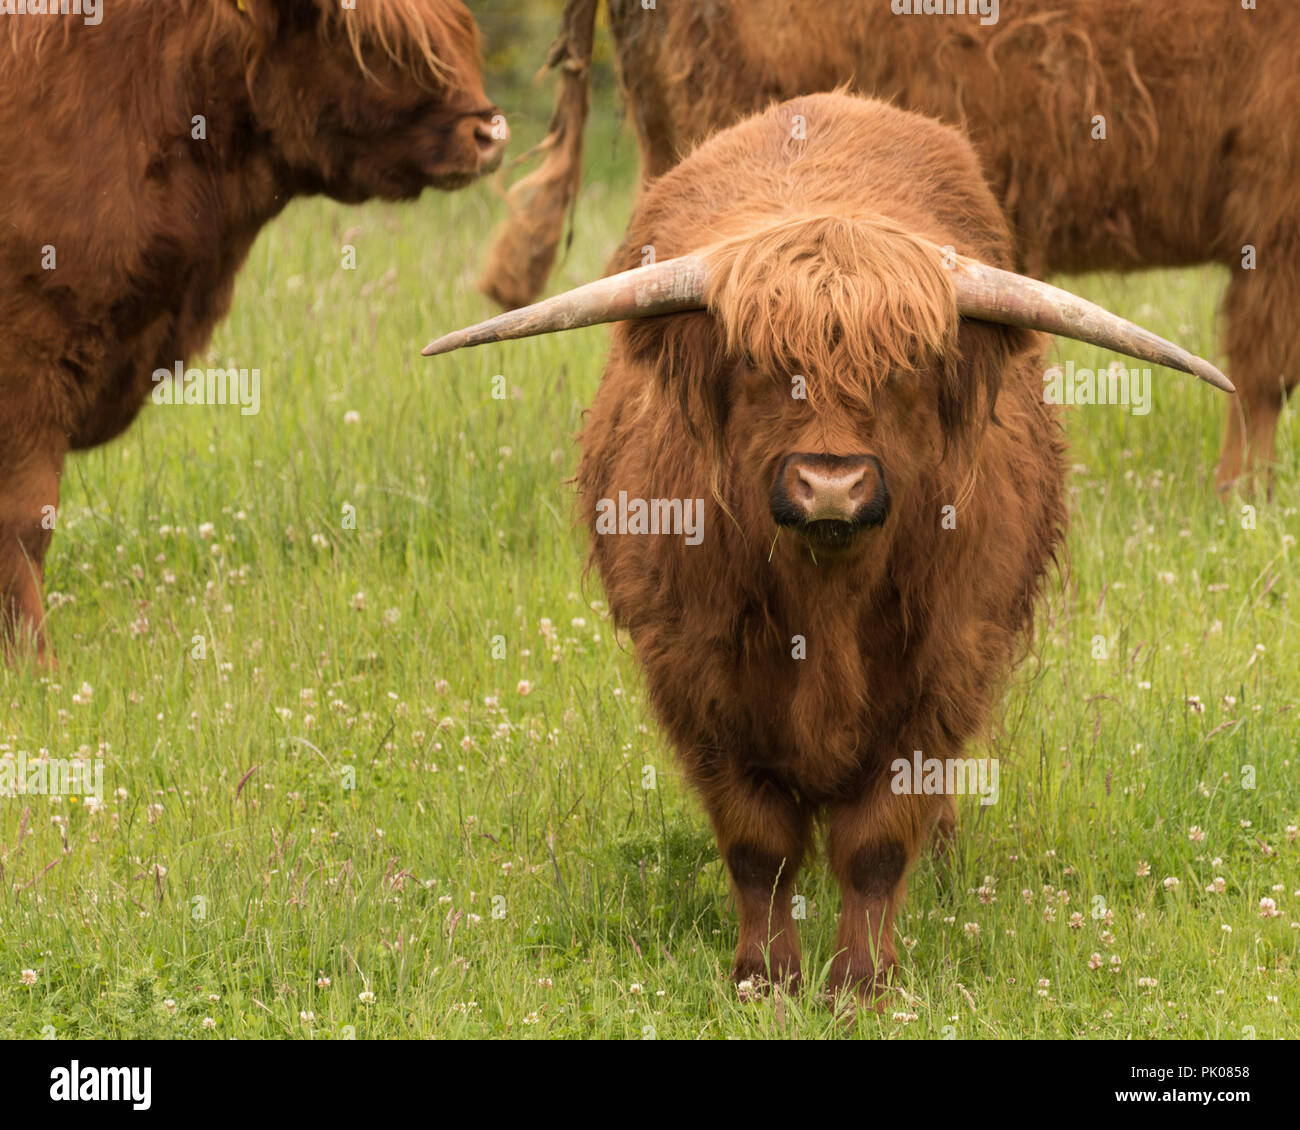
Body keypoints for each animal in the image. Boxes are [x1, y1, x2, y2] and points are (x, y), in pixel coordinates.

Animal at [426, 93, 1230, 1002]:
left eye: (906, 368)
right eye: (758, 366)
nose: (832, 484)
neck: (827, 599)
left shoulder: (941, 677)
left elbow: (876, 844)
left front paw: (860, 981)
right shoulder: (697, 677)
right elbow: (759, 846)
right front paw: (764, 975)